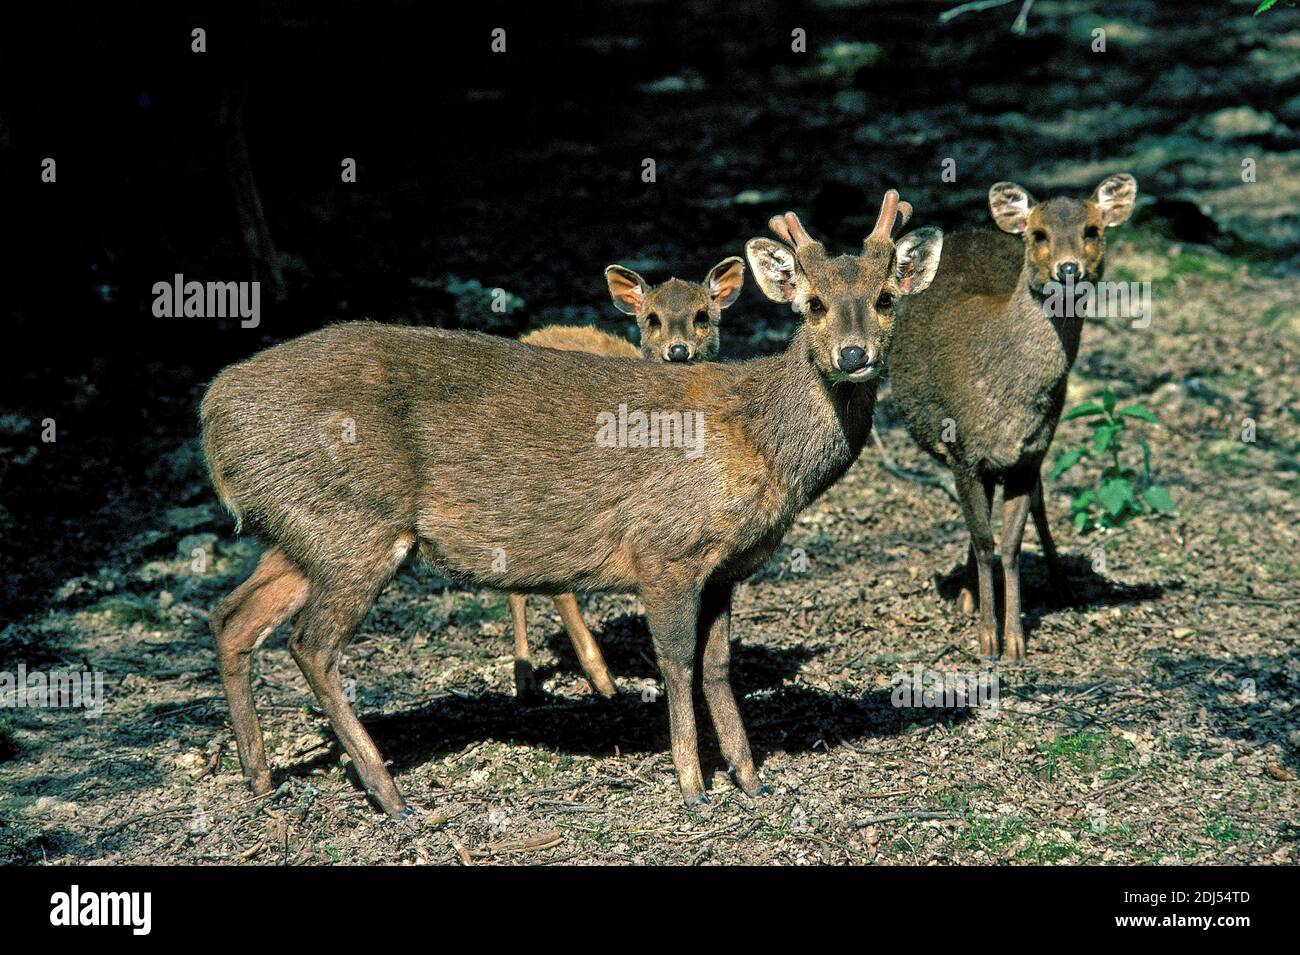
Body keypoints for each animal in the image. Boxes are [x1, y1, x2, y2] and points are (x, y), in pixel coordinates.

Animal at [888, 174, 1138, 663]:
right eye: (1038, 234)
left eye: (1093, 230)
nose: (1068, 269)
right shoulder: (962, 449)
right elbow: (987, 543)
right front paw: (988, 639)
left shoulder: (1030, 453)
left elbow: (1012, 546)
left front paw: (1016, 641)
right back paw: (968, 596)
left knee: (1037, 503)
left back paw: (1062, 586)